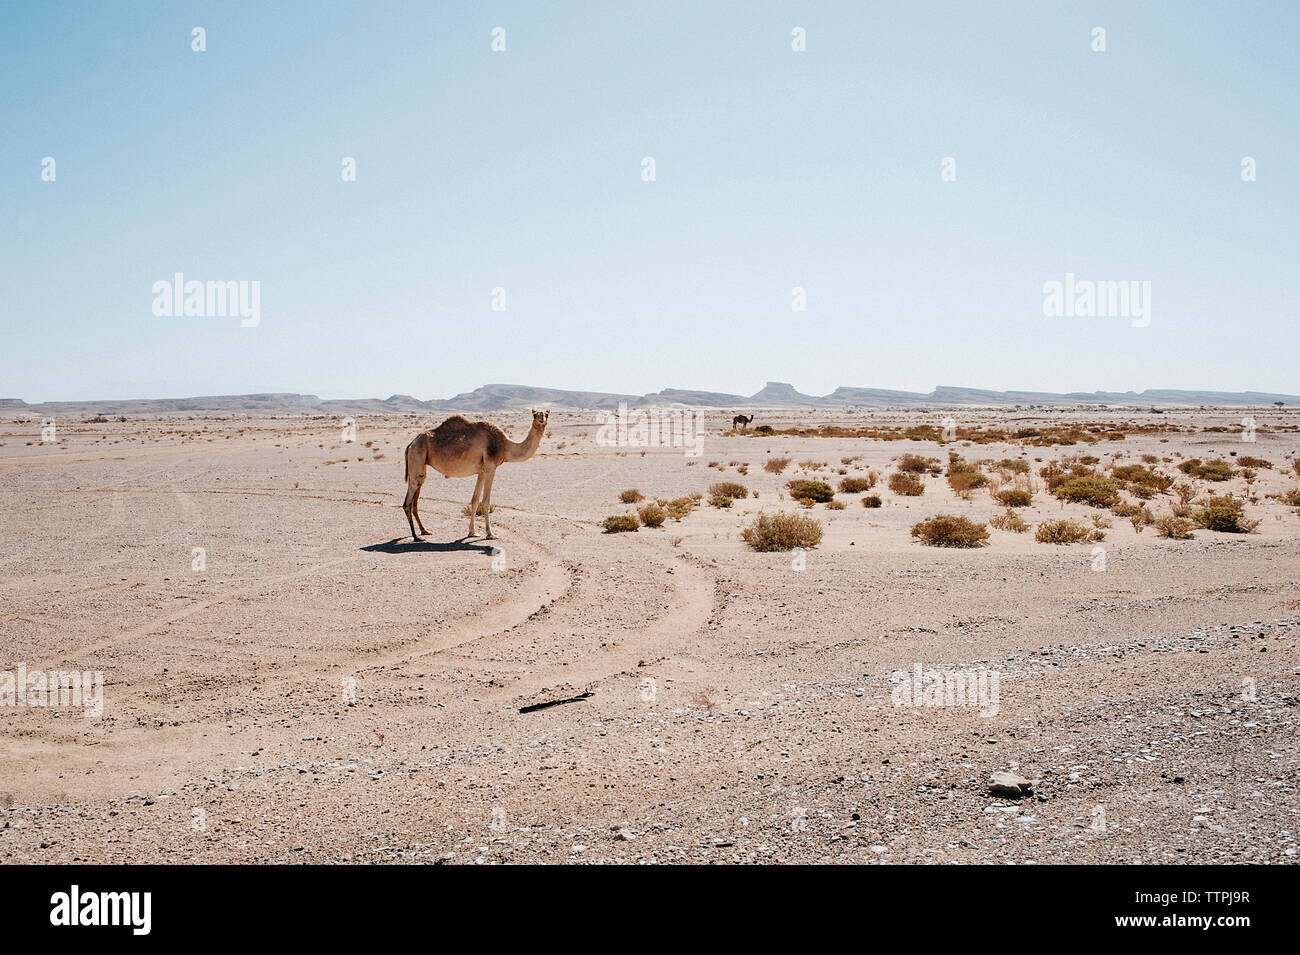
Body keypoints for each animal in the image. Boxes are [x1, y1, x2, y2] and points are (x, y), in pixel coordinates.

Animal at [402, 409, 549, 541]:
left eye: (546, 414)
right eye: (535, 414)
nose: (541, 418)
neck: (505, 445)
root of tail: (410, 444)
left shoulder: (482, 471)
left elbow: (475, 500)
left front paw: (472, 532)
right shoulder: (490, 467)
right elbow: (485, 501)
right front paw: (490, 534)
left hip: (421, 461)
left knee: (416, 498)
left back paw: (424, 531)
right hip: (417, 455)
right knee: (408, 501)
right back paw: (416, 537)